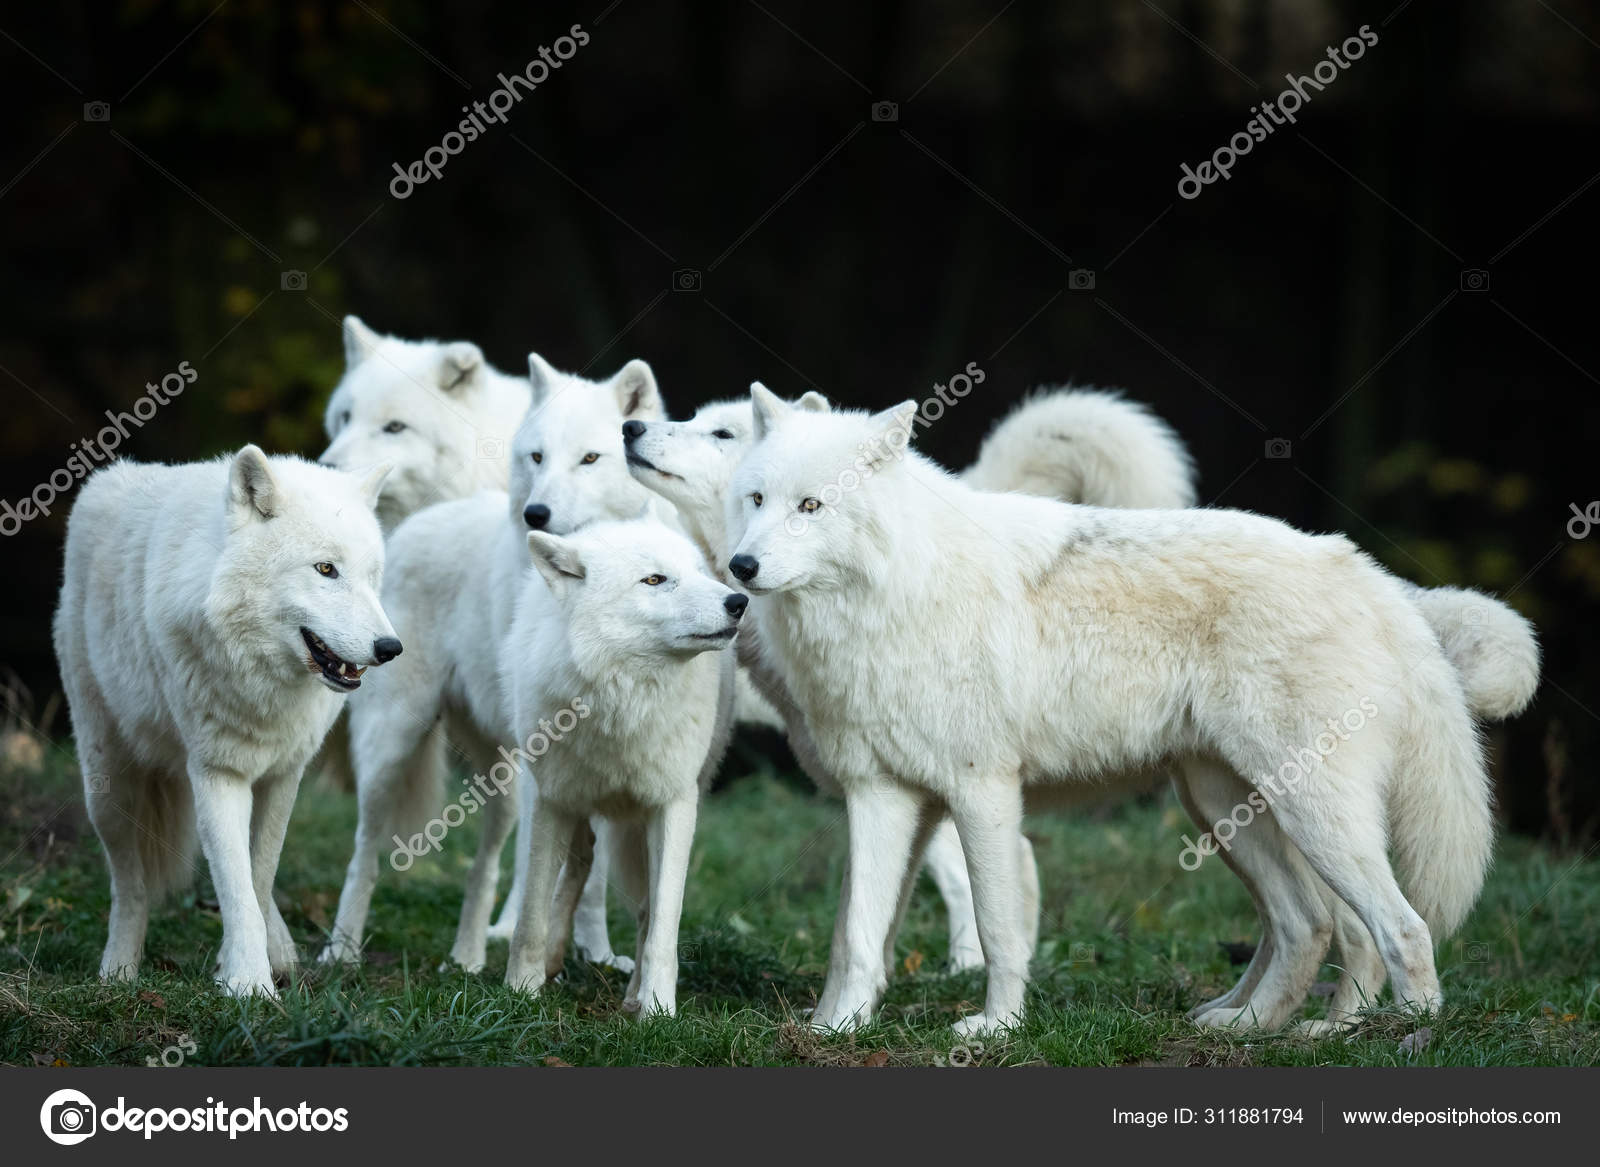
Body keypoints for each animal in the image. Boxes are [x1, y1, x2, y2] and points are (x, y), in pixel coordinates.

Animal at [54, 446, 398, 997]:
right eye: (326, 569)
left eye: (372, 575)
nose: (390, 648)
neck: (263, 681)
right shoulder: (218, 773)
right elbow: (236, 885)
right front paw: (249, 984)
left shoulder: (284, 775)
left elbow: (257, 876)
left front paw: (247, 963)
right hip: (107, 788)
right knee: (129, 886)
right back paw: (119, 970)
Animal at [319, 355, 664, 973]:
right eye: (537, 457)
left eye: (590, 458)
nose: (536, 513)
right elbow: (544, 867)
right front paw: (538, 952)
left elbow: (593, 876)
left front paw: (596, 954)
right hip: (393, 749)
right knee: (365, 852)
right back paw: (342, 952)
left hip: (498, 782)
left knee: (483, 868)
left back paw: (468, 957)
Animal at [503, 519, 741, 1015]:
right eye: (655, 580)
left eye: (698, 572)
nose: (738, 602)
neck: (623, 702)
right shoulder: (552, 800)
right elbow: (532, 912)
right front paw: (520, 991)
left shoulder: (674, 805)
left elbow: (663, 923)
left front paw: (657, 1009)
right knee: (581, 861)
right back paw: (554, 959)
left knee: (645, 907)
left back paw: (633, 997)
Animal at [727, 385, 1512, 1037]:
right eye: (757, 499)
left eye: (811, 506)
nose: (740, 567)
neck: (890, 593)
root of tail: (1366, 573)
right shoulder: (880, 794)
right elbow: (855, 933)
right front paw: (835, 1027)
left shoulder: (983, 791)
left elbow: (998, 929)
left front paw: (997, 1030)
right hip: (1223, 809)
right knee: (1309, 925)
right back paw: (1253, 1026)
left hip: (1313, 817)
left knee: (1400, 927)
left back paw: (1399, 1036)